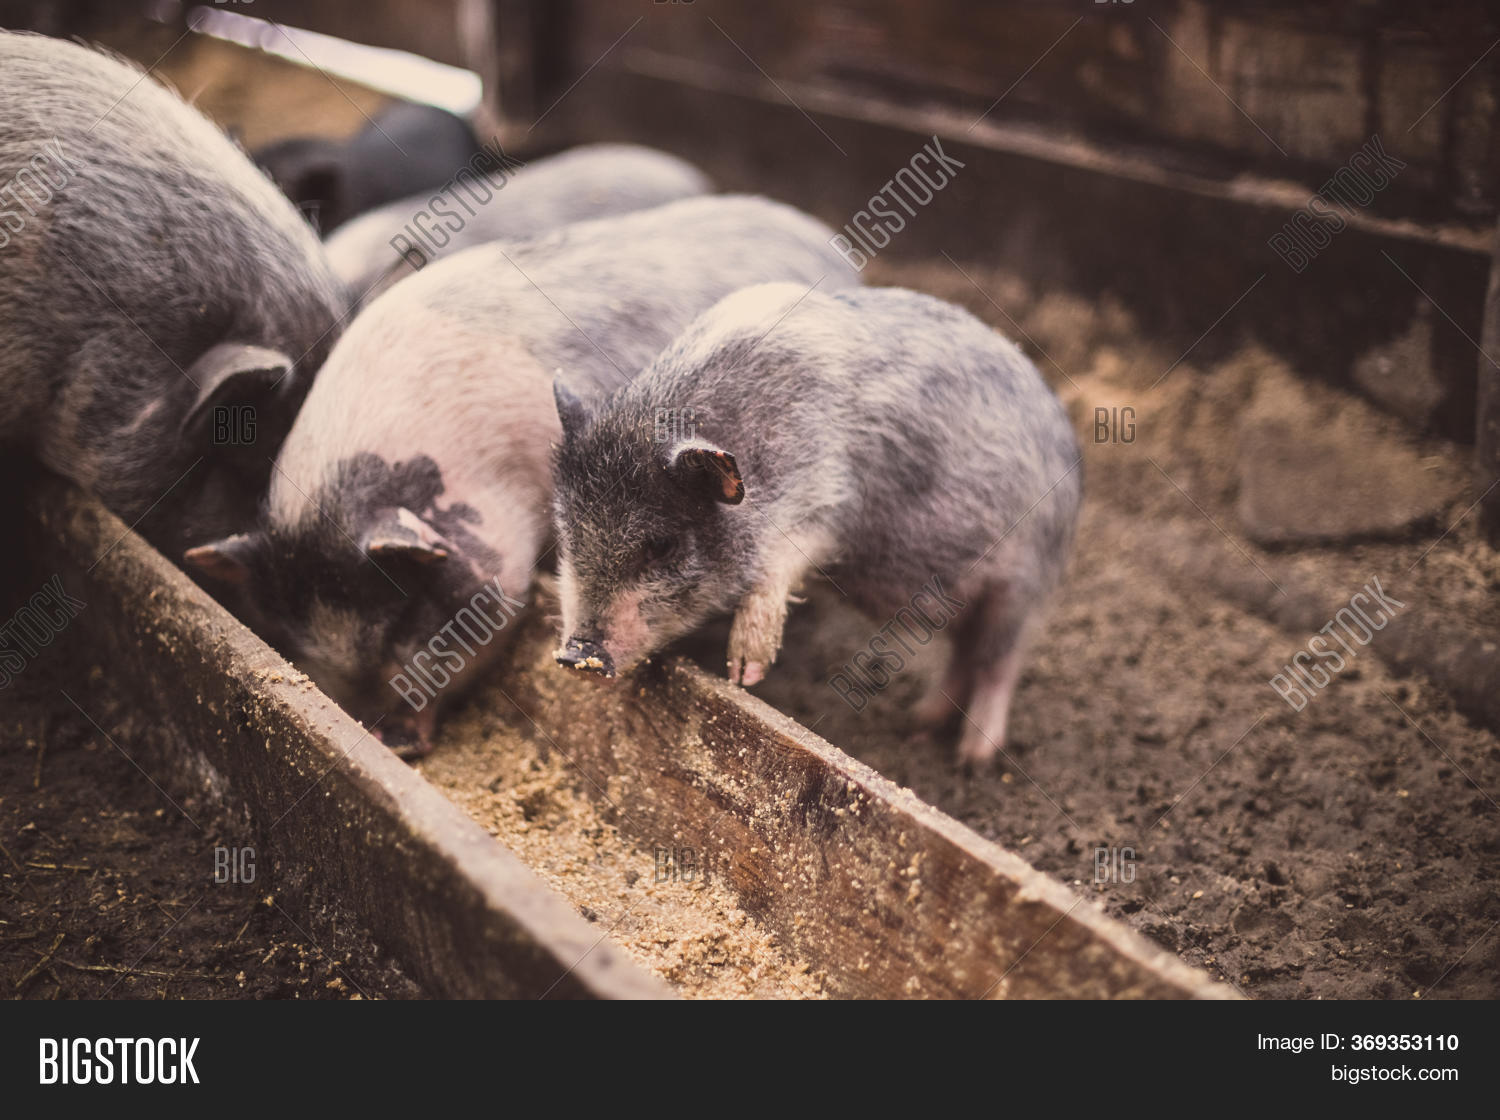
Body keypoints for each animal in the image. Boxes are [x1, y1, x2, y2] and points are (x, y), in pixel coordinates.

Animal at [549, 282, 1082, 765]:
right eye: (568, 532)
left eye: (661, 544)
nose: (575, 656)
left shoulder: (830, 496)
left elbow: (780, 564)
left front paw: (744, 672)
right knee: (963, 654)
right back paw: (919, 723)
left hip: (1023, 584)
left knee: (999, 661)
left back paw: (972, 758)